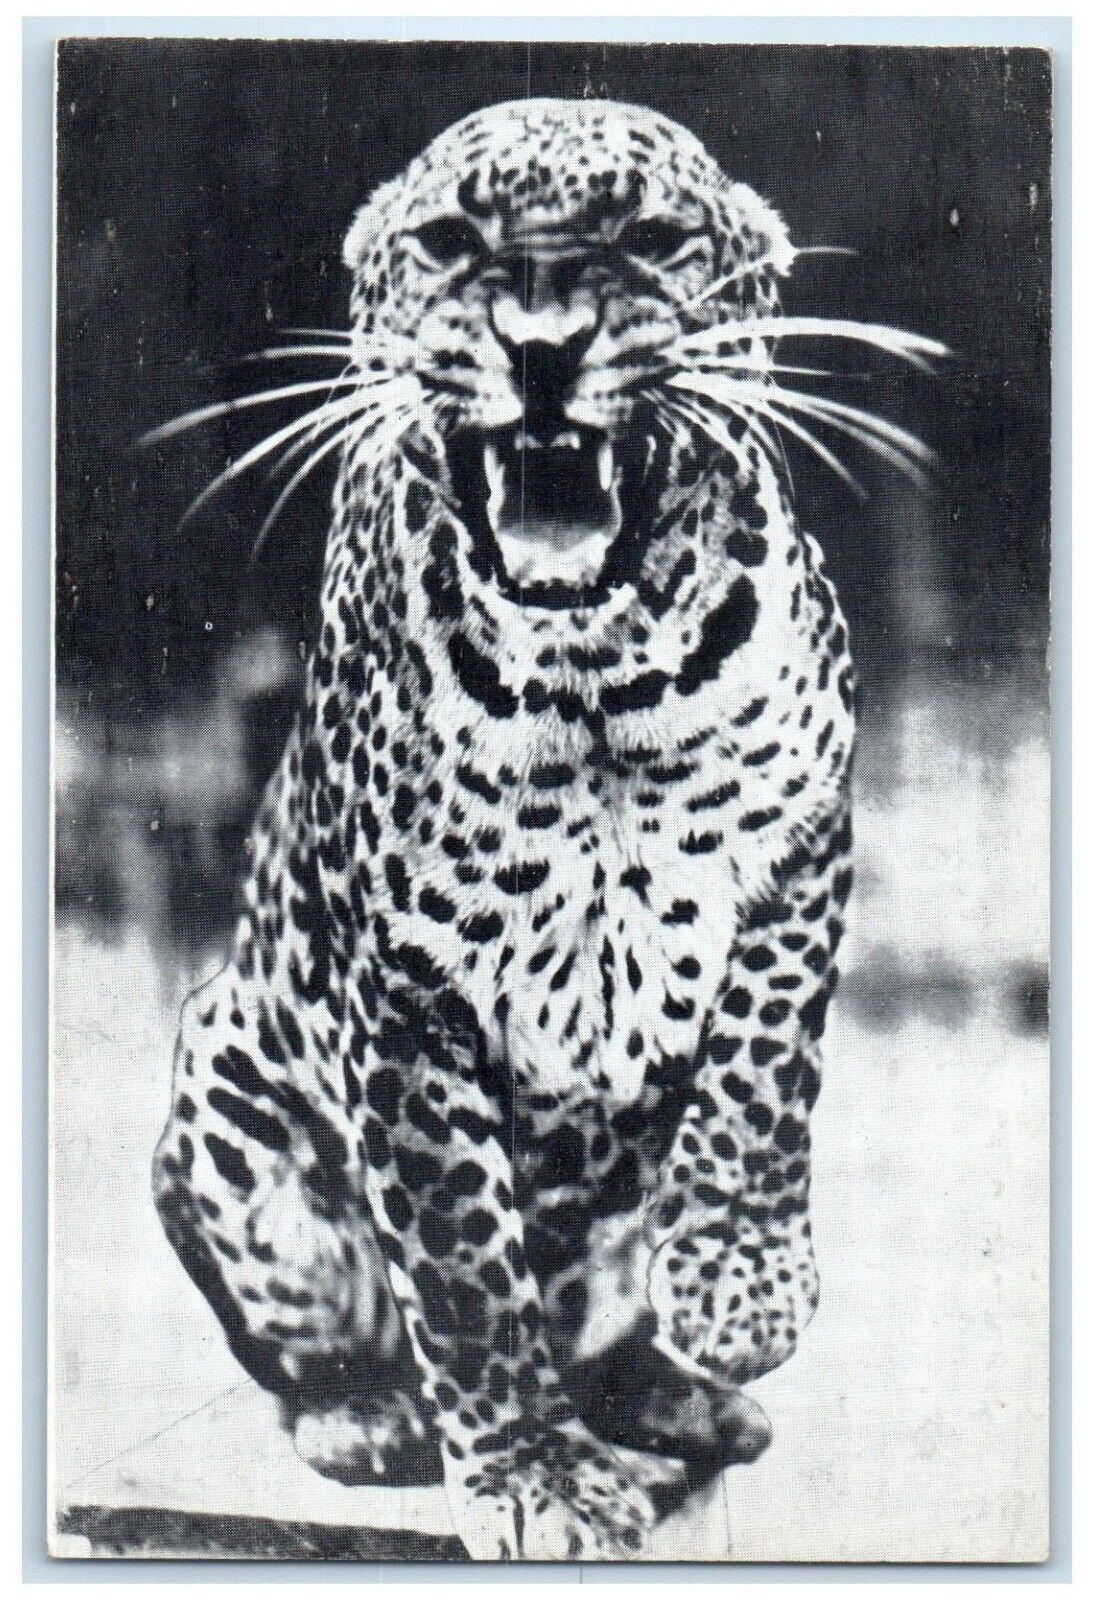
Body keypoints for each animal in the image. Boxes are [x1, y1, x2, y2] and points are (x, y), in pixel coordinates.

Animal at [151, 97, 940, 1560]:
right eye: (449, 241)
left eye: (653, 238)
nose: (539, 346)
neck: (594, 676)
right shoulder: (405, 988)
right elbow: (463, 1261)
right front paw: (530, 1476)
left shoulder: (804, 845)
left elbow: (761, 1060)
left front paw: (742, 1286)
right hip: (225, 1083)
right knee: (324, 1347)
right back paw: (367, 1416)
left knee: (605, 1330)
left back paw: (682, 1393)